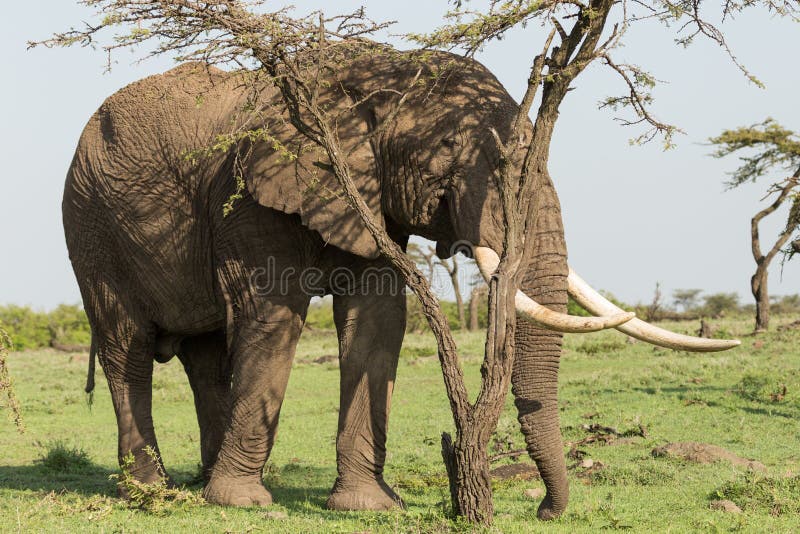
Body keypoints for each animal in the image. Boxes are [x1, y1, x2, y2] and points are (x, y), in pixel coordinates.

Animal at [63, 48, 738, 518]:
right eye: (448, 147)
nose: (546, 510)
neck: (371, 73)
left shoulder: (372, 200)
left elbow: (376, 320)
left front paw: (369, 507)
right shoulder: (250, 195)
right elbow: (272, 315)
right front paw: (245, 506)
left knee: (203, 353)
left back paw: (199, 482)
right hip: (89, 226)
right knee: (128, 348)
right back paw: (152, 491)